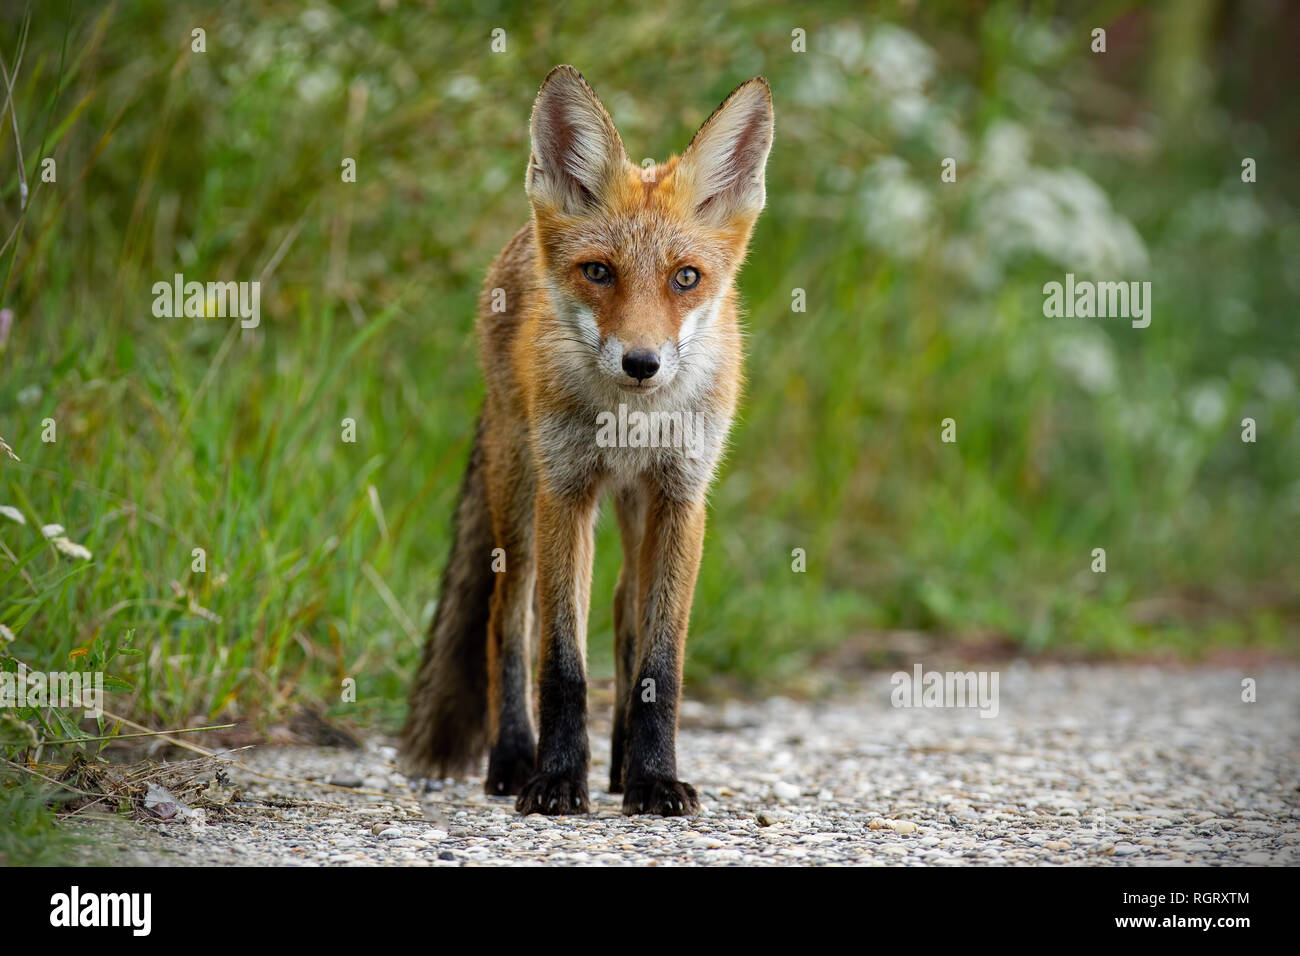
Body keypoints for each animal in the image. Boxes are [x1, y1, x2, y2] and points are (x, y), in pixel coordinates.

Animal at [400, 65, 774, 816]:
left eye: (686, 278)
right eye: (599, 272)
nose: (641, 363)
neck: (629, 422)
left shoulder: (681, 499)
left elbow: (661, 661)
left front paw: (654, 779)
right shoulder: (566, 491)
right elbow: (562, 663)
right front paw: (554, 779)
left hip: (631, 508)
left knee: (625, 608)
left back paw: (623, 766)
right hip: (520, 492)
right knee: (507, 620)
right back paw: (514, 757)